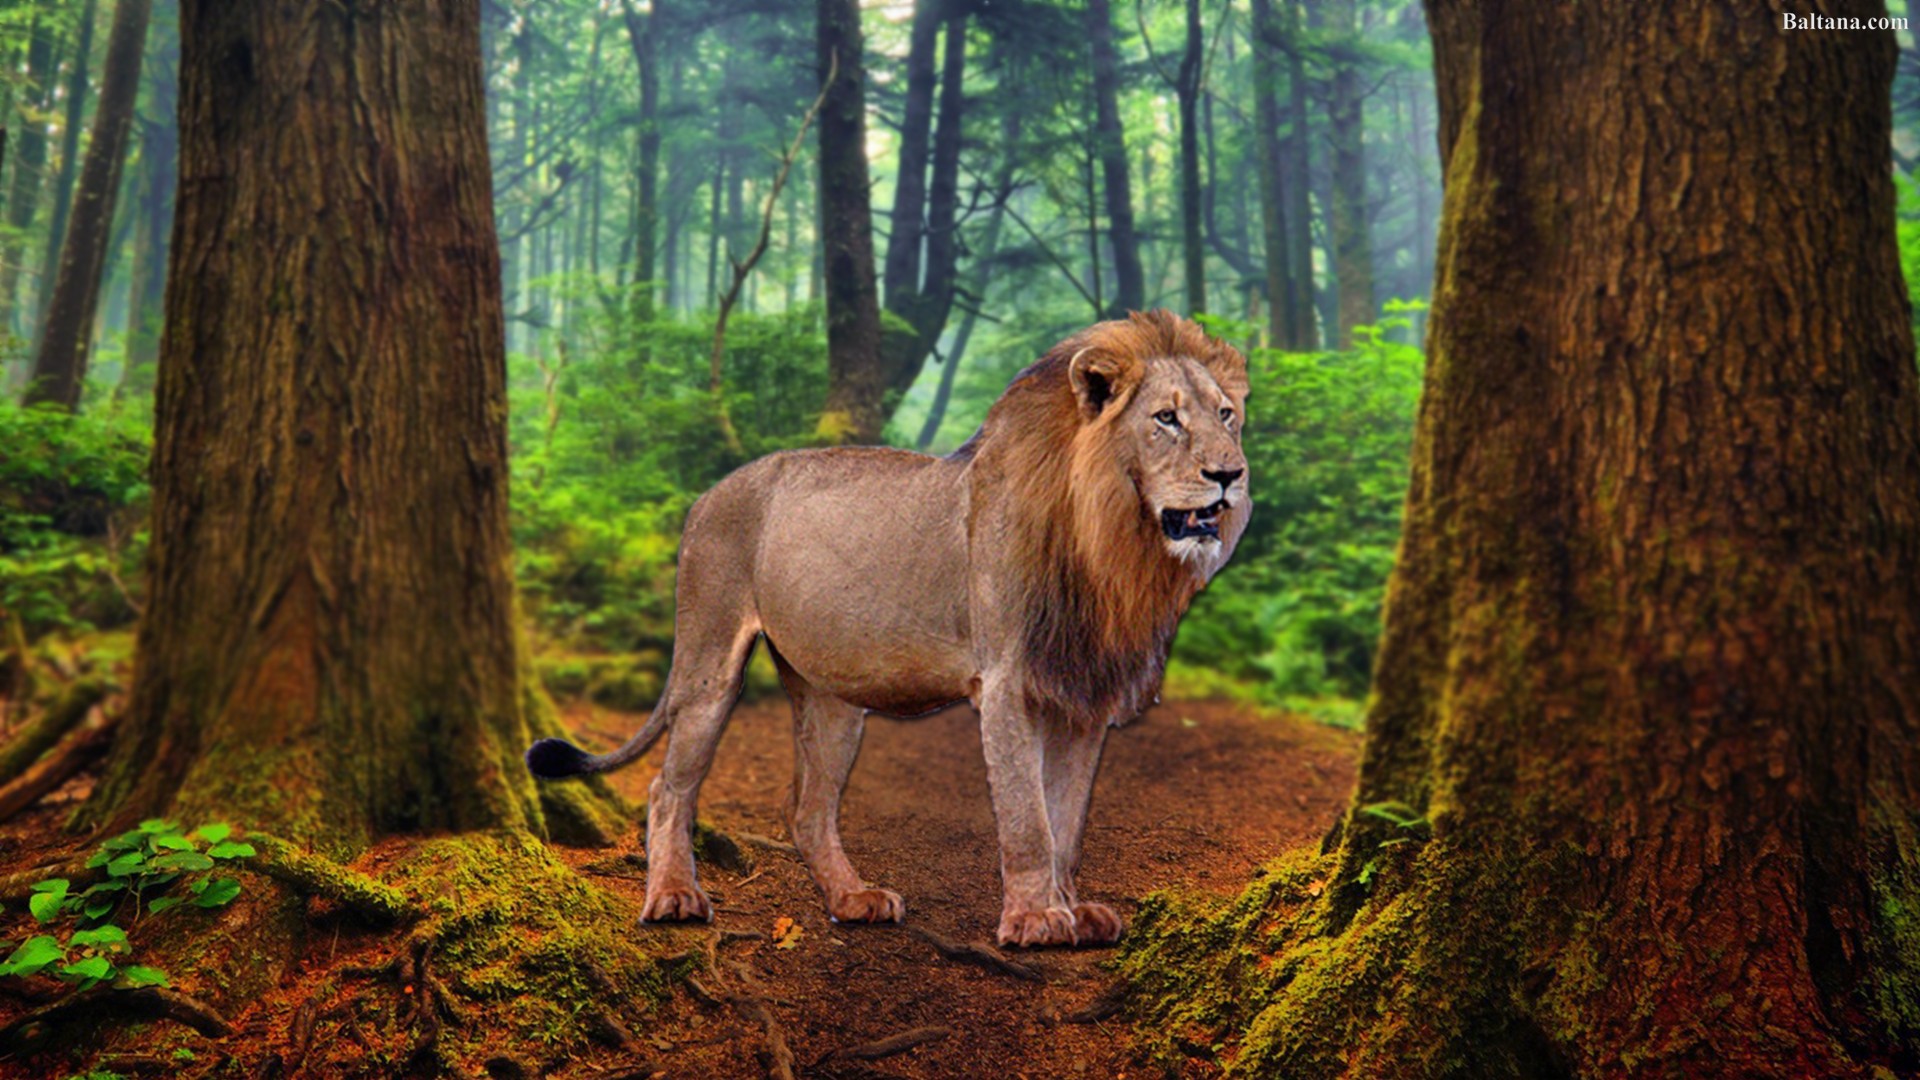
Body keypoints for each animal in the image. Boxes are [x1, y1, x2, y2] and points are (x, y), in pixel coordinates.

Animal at [527, 310, 1250, 947]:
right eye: (1165, 418)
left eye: (1226, 416)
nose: (1231, 475)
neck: (1113, 545)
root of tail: (706, 494)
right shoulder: (1008, 683)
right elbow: (1028, 819)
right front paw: (1036, 920)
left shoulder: (1081, 695)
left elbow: (1068, 819)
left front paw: (1072, 909)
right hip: (709, 658)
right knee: (668, 787)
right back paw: (674, 896)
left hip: (830, 698)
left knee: (807, 810)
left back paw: (852, 898)